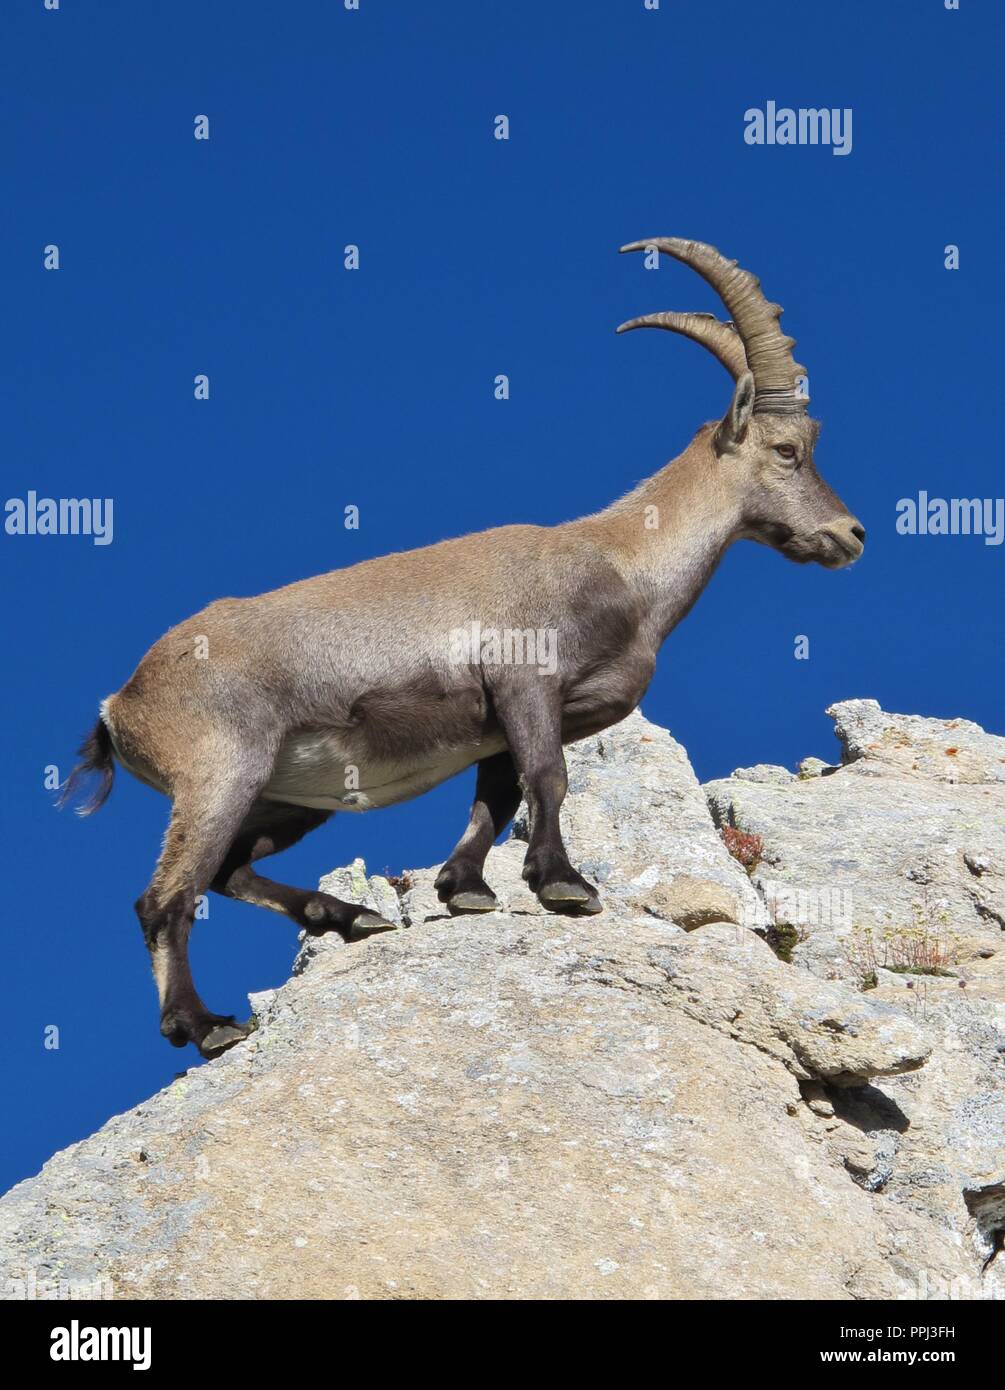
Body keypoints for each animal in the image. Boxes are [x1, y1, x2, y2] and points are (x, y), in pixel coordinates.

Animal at [63, 237, 864, 1057]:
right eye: (787, 450)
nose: (849, 534)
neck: (622, 565)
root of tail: (120, 704)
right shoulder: (524, 681)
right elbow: (547, 778)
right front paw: (564, 885)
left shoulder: (494, 724)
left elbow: (496, 797)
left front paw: (465, 889)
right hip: (220, 770)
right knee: (165, 897)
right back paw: (204, 1024)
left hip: (288, 792)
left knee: (227, 874)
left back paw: (348, 915)